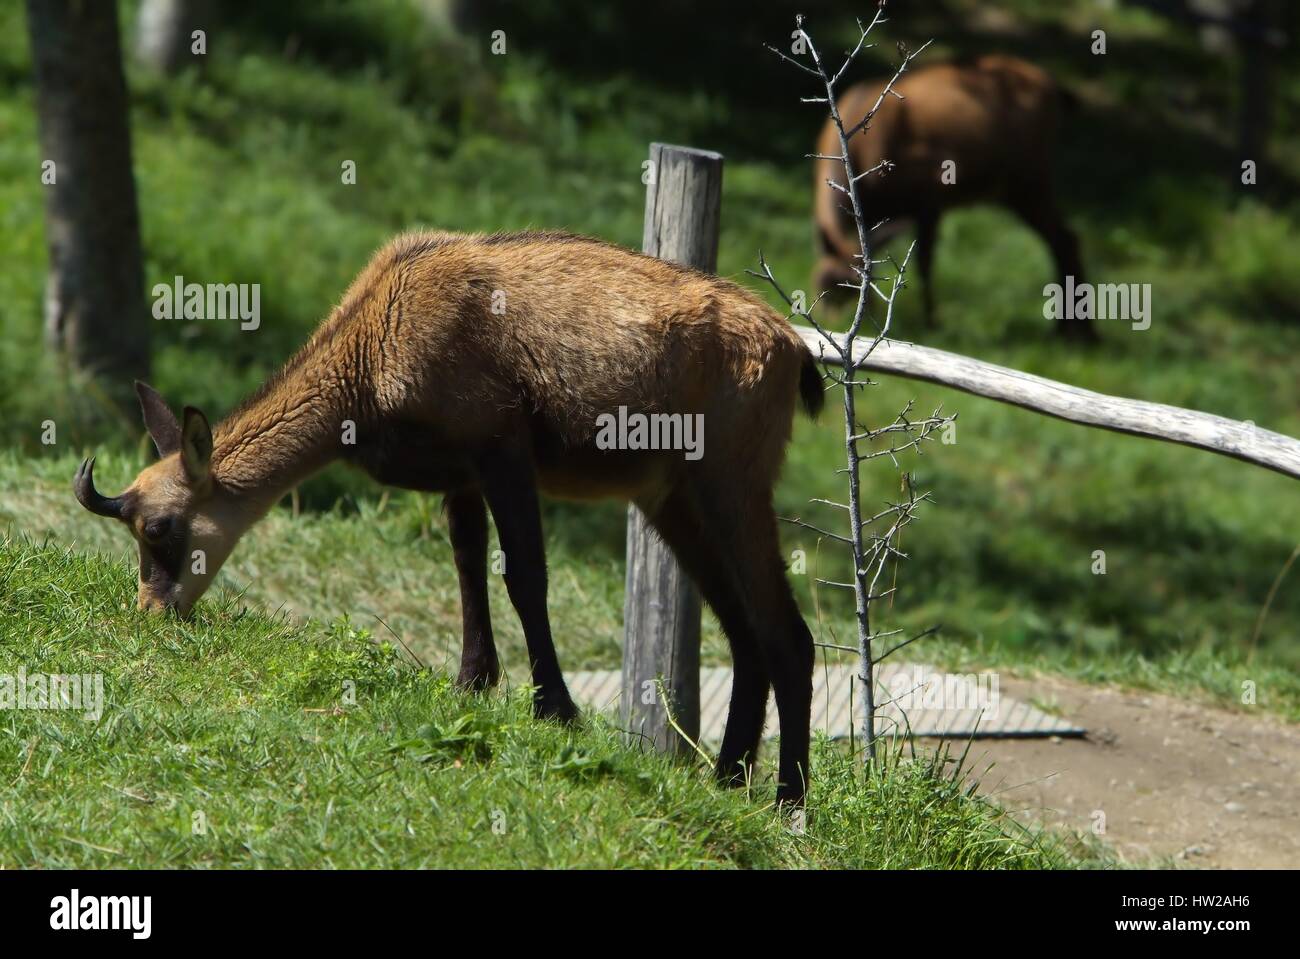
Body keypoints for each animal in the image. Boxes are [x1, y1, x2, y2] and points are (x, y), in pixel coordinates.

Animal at [73, 230, 824, 806]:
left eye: (159, 528)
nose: (152, 612)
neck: (371, 350)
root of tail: (793, 351)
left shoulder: (502, 444)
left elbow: (524, 575)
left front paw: (556, 711)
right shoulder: (460, 470)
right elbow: (467, 562)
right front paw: (473, 682)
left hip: (731, 480)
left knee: (787, 632)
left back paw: (788, 800)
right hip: (672, 497)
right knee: (745, 631)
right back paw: (728, 782)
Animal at [813, 55, 1092, 340]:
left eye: (853, 286)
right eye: (821, 283)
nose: (836, 322)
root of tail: (1054, 87)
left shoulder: (929, 194)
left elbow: (924, 262)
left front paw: (931, 322)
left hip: (1030, 177)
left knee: (1064, 238)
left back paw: (1079, 331)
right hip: (1015, 187)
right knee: (1064, 237)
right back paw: (1071, 328)